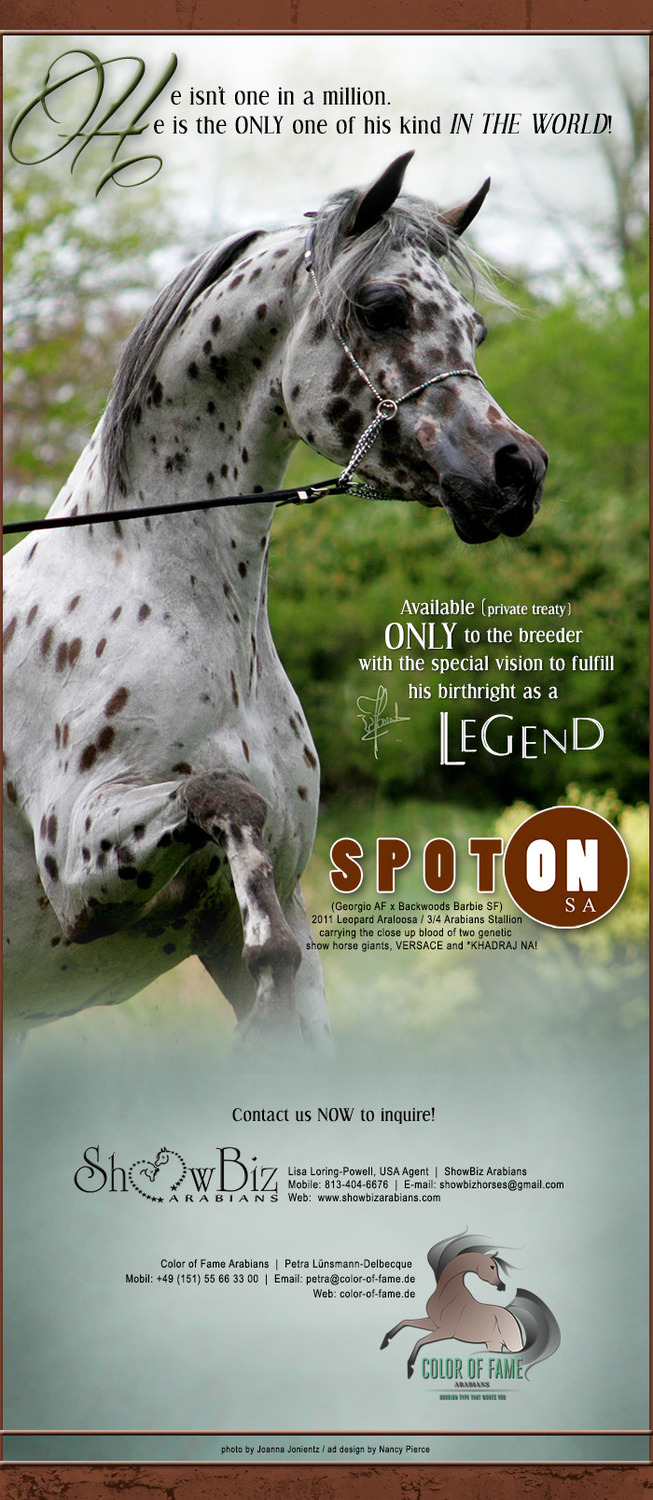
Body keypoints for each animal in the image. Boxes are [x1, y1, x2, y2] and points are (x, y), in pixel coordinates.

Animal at [3, 153, 547, 1052]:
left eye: (475, 328)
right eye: (383, 307)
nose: (518, 472)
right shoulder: (79, 870)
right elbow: (227, 797)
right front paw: (265, 963)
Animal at [381, 1231, 560, 1378]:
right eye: (491, 1266)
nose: (501, 1286)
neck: (447, 1295)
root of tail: (513, 1317)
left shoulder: (446, 1331)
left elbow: (419, 1340)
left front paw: (409, 1368)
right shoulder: (434, 1324)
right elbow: (405, 1322)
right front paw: (385, 1342)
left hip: (508, 1344)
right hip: (493, 1344)